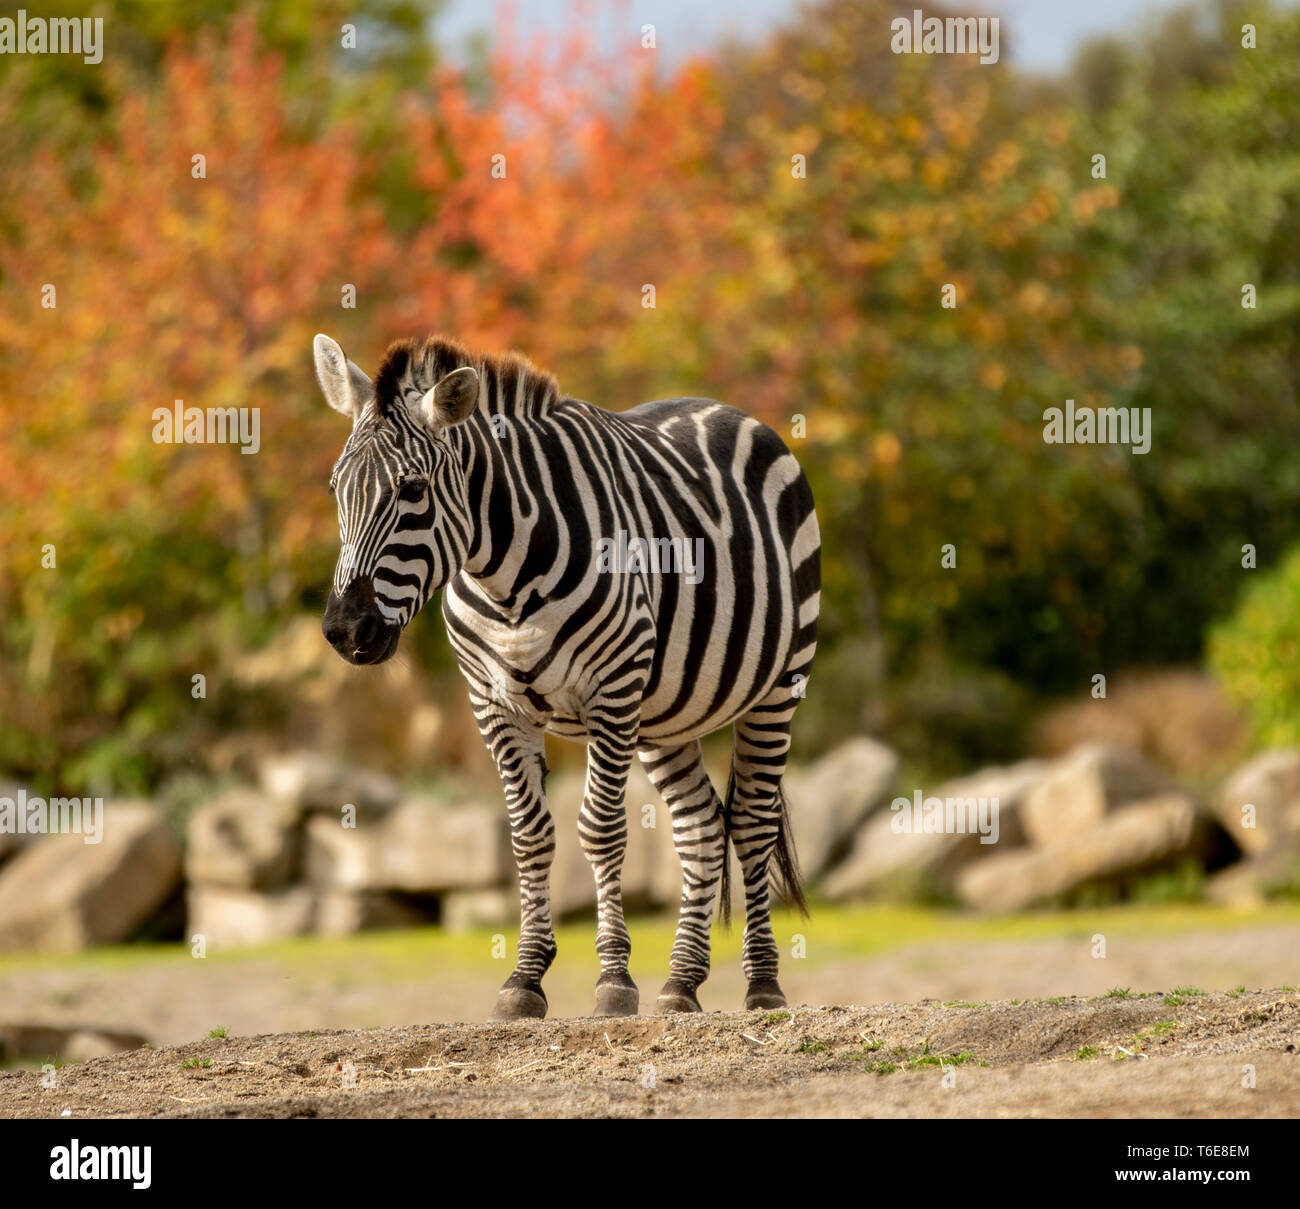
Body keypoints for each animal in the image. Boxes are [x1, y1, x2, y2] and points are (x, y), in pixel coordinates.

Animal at [315, 332, 821, 1019]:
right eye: (336, 489)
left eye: (412, 490)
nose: (346, 631)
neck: (502, 578)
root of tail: (726, 409)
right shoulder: (493, 705)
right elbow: (530, 838)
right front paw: (524, 979)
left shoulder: (613, 689)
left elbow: (600, 831)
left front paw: (613, 980)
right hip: (665, 716)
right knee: (699, 827)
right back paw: (681, 983)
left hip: (776, 687)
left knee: (751, 823)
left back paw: (763, 984)